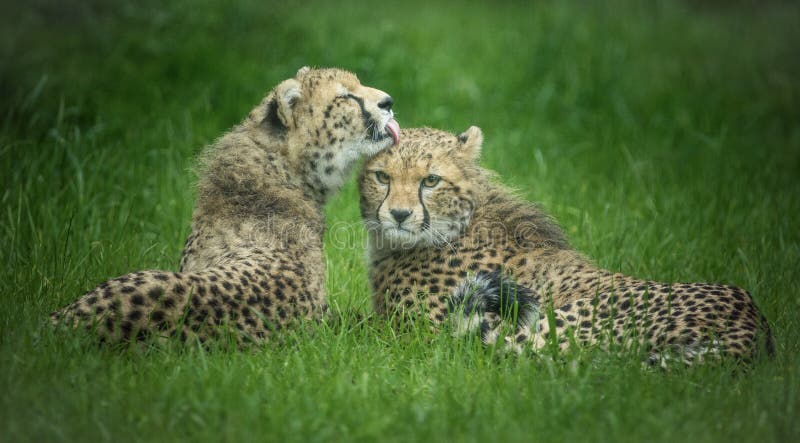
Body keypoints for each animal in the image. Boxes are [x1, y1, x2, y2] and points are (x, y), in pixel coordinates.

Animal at [358, 126, 772, 365]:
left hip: (545, 329)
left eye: (430, 180)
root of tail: (752, 327)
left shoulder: (418, 338)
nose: (398, 215)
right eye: (382, 177)